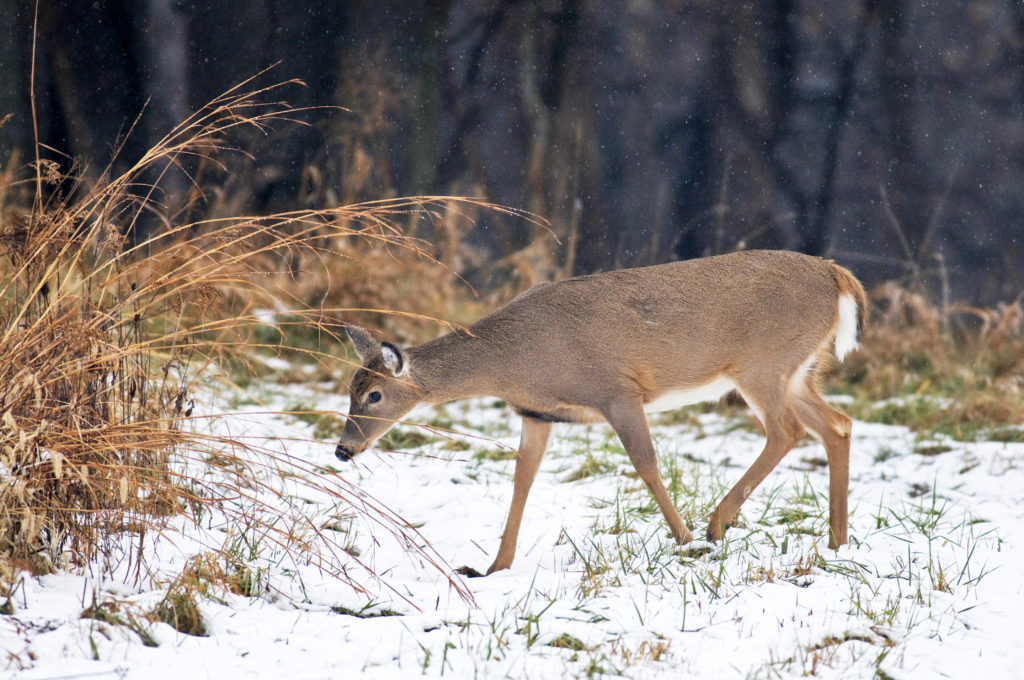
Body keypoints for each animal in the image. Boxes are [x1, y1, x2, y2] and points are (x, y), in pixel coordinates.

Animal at [334, 250, 867, 575]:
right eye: (349, 389)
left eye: (374, 395)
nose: (343, 450)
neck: (514, 361)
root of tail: (838, 276)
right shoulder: (538, 414)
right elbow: (522, 478)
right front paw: (495, 567)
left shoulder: (617, 391)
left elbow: (646, 464)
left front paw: (685, 541)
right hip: (797, 370)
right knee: (837, 425)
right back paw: (837, 542)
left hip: (763, 363)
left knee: (787, 431)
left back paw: (718, 525)